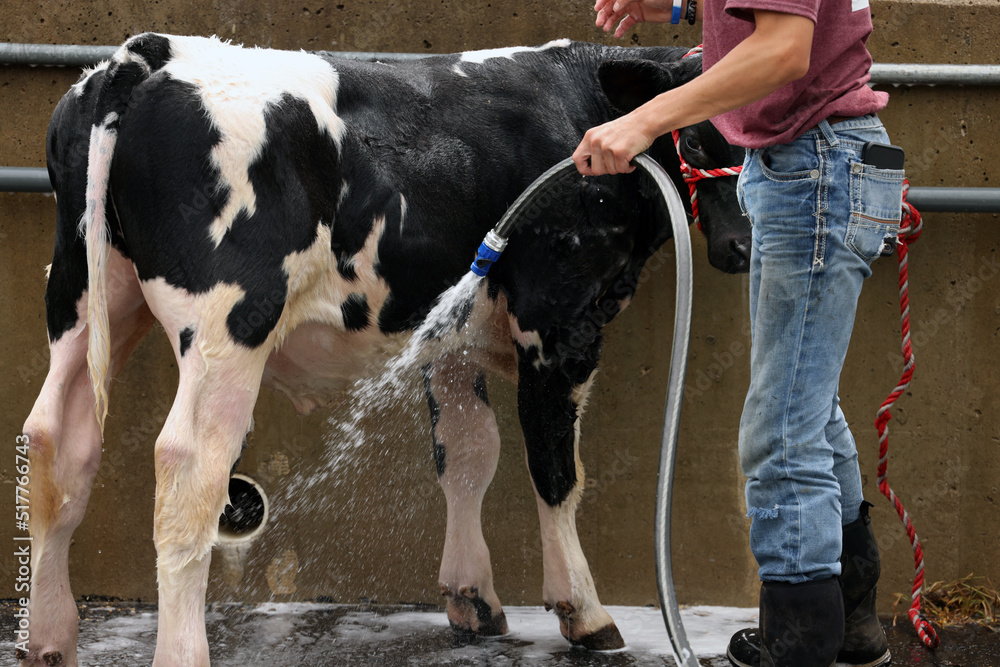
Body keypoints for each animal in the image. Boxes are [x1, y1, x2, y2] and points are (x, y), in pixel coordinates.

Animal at [19, 33, 749, 667]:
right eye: (699, 132)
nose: (742, 246)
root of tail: (151, 52)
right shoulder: (559, 321)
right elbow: (555, 469)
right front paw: (584, 611)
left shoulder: (451, 333)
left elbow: (468, 453)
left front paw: (471, 597)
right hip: (228, 322)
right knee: (189, 465)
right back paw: (180, 651)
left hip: (83, 294)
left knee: (57, 442)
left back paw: (50, 639)